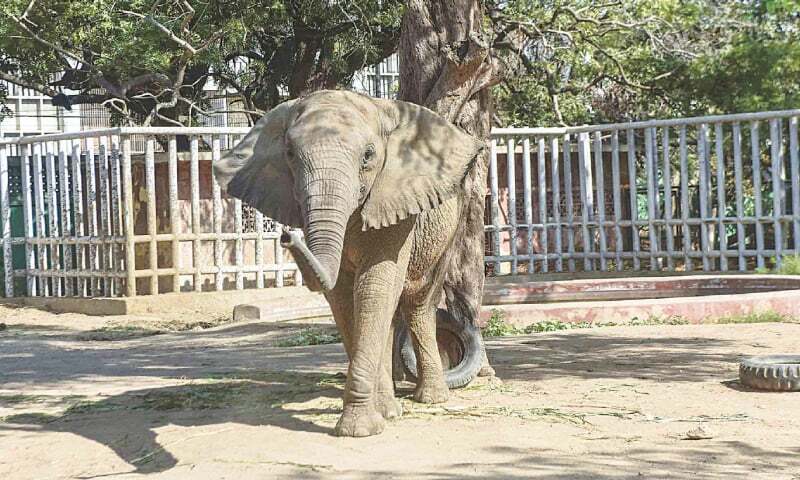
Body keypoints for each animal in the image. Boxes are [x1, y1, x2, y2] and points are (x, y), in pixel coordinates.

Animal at [213, 90, 484, 437]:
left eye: (369, 155)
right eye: (289, 153)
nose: (287, 236)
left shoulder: (395, 200)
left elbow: (374, 287)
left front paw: (359, 429)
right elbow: (343, 296)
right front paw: (374, 418)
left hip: (451, 225)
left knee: (418, 303)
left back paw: (432, 399)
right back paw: (392, 407)